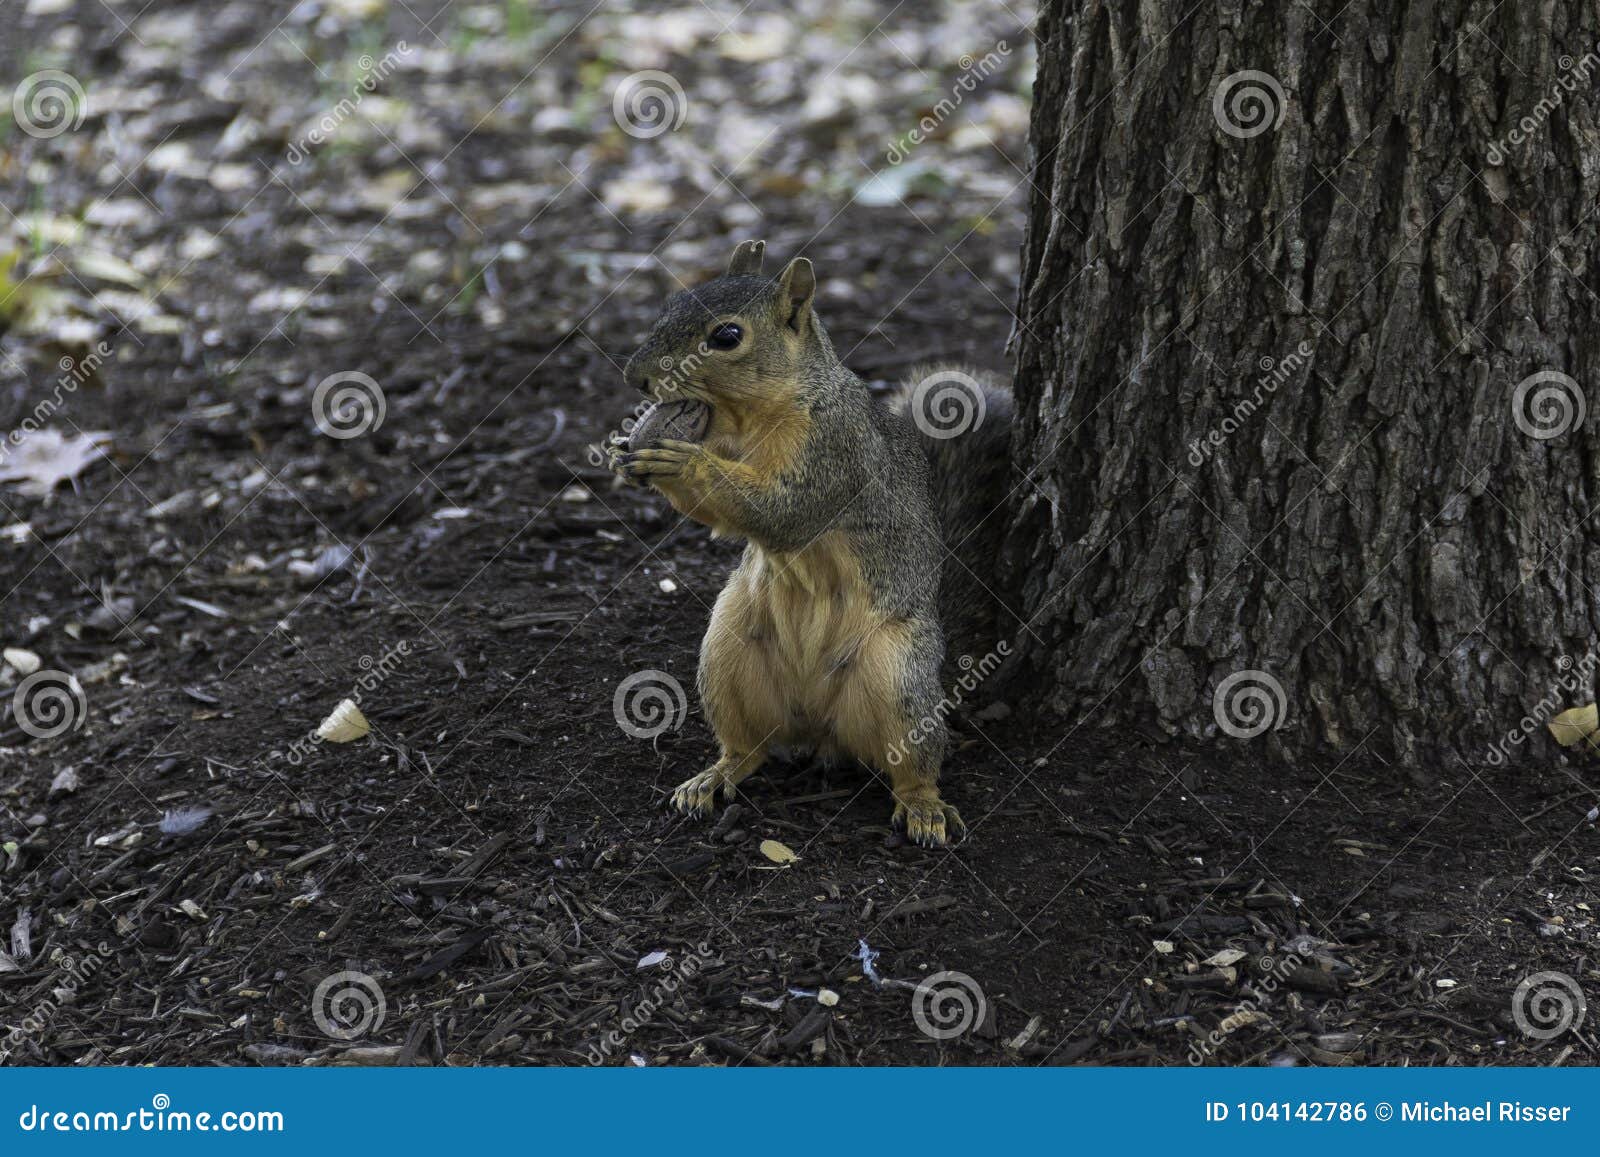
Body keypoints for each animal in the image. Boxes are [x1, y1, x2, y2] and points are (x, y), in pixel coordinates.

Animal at [612, 240, 1013, 847]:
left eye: (727, 337)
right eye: (670, 304)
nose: (636, 378)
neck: (750, 416)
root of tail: (820, 726)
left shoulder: (834, 448)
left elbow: (784, 512)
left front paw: (682, 461)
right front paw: (624, 449)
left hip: (898, 673)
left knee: (913, 761)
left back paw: (924, 806)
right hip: (726, 654)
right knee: (750, 747)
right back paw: (715, 775)